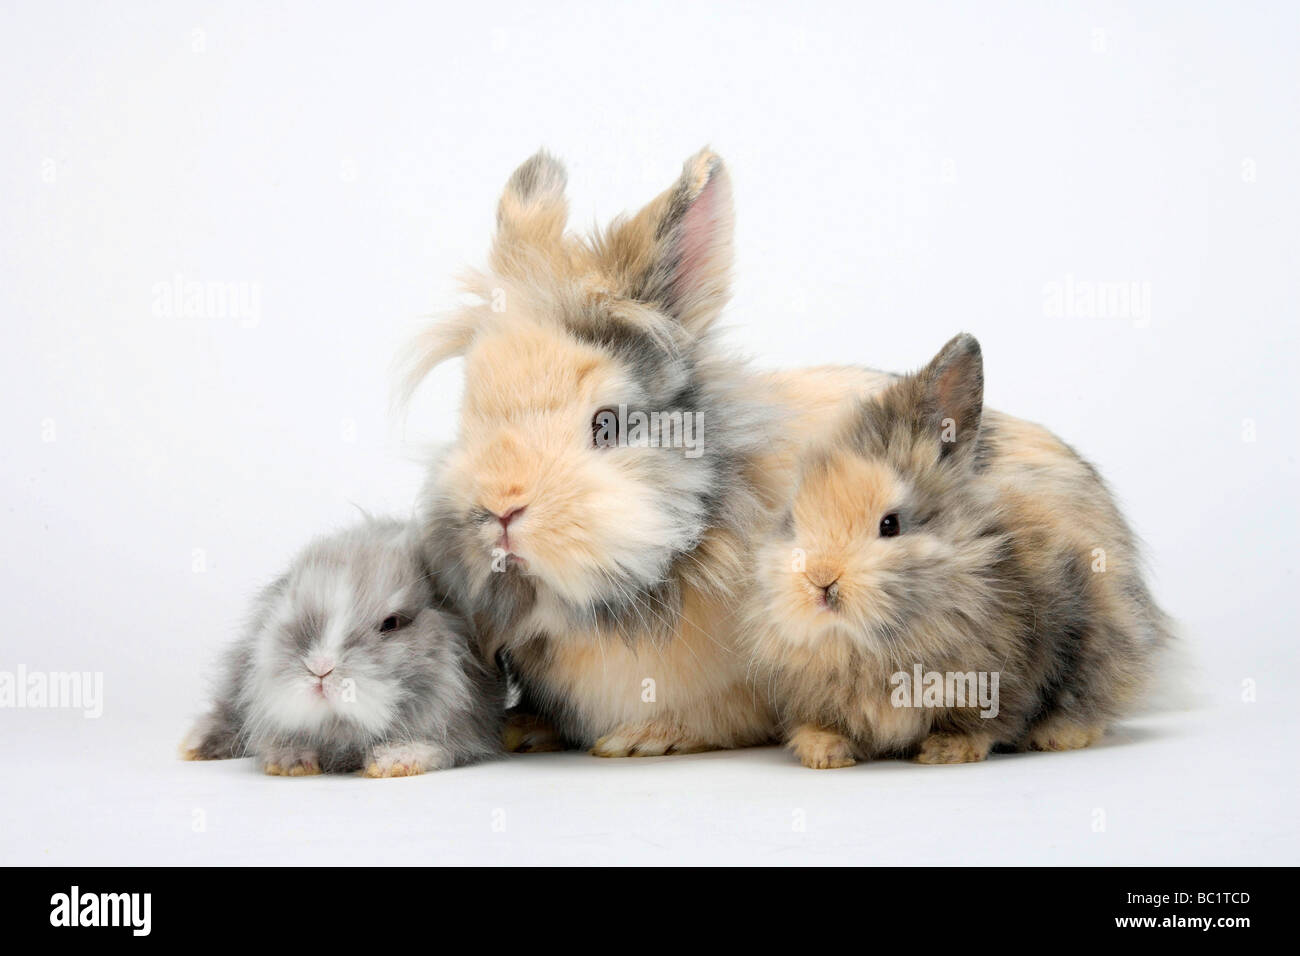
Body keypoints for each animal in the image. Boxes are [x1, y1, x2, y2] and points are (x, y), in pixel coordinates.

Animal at [181, 518, 504, 776]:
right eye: (296, 608)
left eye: (391, 623)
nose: (320, 668)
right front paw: (290, 762)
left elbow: (439, 744)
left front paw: (394, 760)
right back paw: (194, 746)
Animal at [745, 333, 1173, 769]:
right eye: (792, 519)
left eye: (890, 524)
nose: (821, 580)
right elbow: (819, 722)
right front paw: (824, 753)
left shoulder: (1010, 672)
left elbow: (988, 719)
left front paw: (946, 750)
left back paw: (1059, 736)